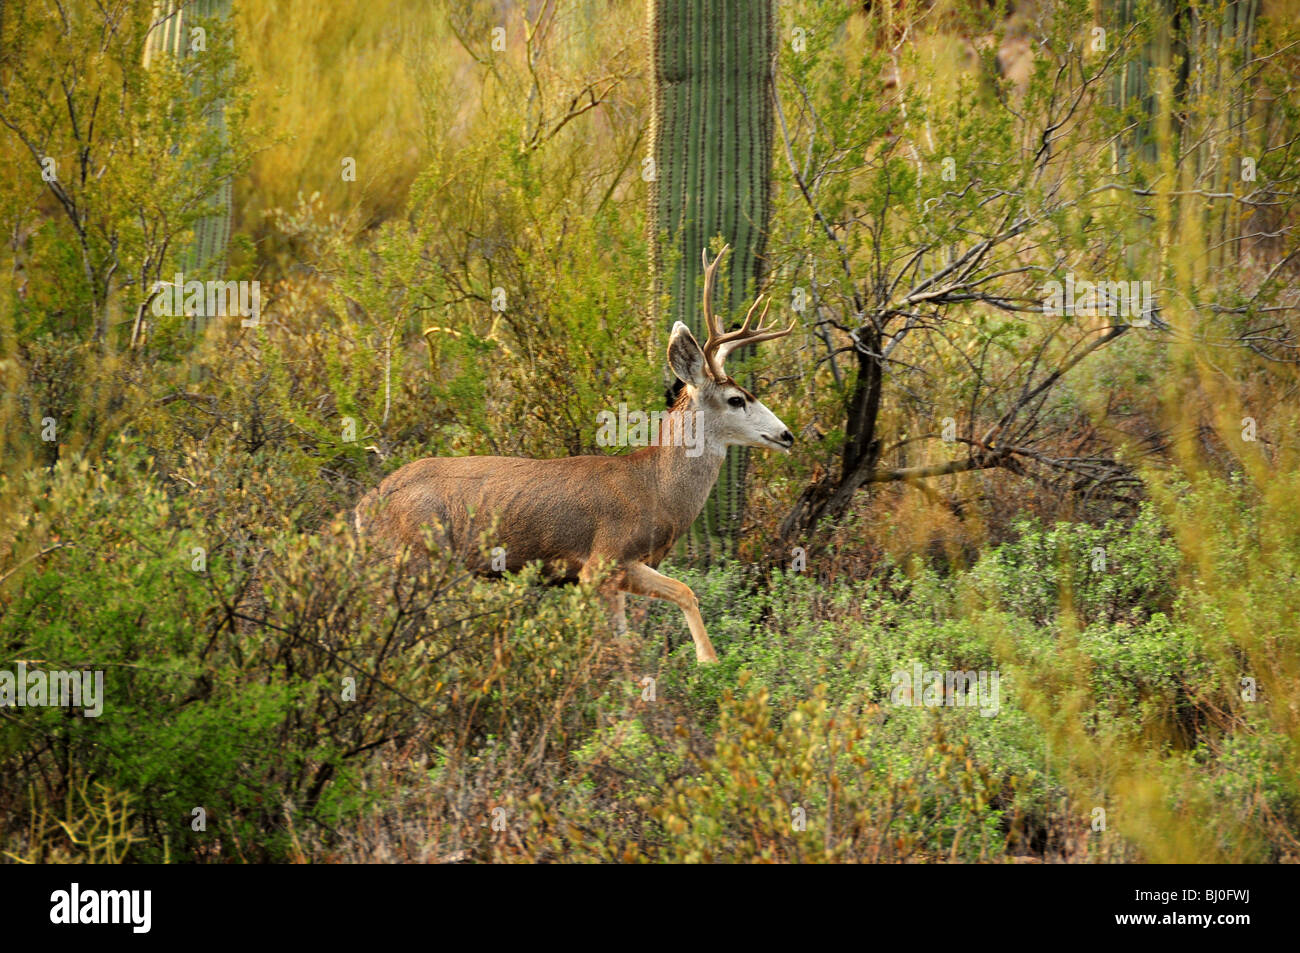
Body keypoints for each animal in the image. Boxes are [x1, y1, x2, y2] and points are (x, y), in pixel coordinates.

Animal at [352, 245, 796, 663]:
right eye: (737, 399)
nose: (787, 435)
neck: (655, 488)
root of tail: (366, 504)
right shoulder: (604, 558)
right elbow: (679, 595)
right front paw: (707, 664)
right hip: (417, 555)